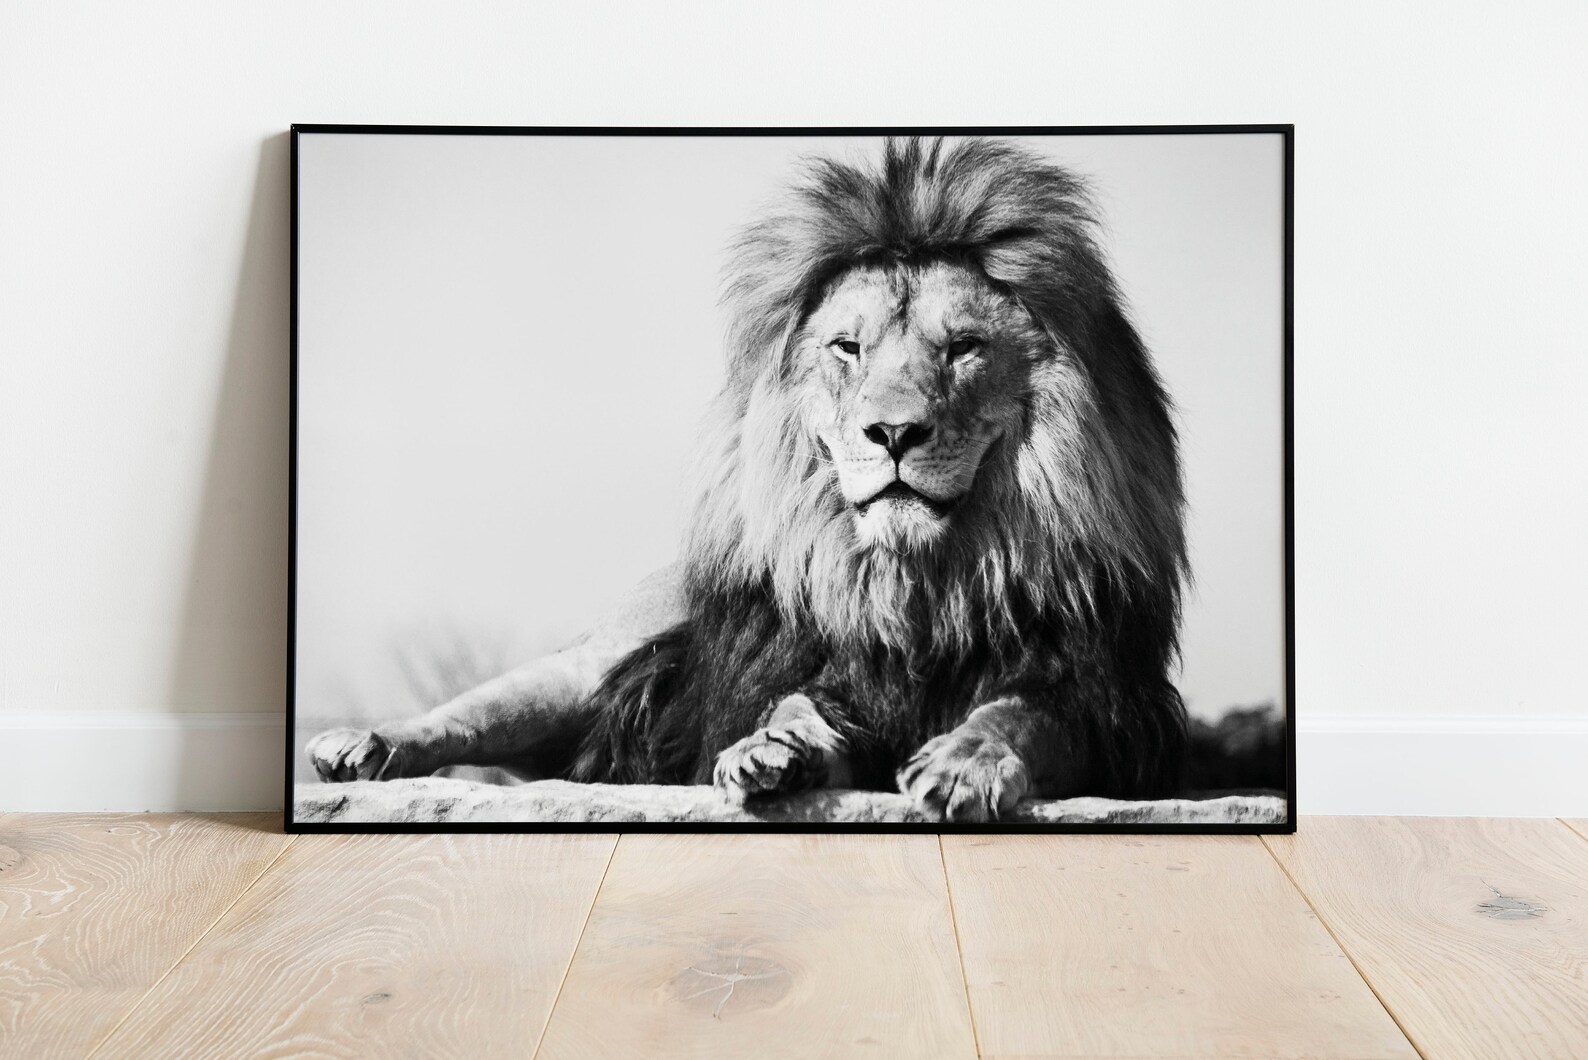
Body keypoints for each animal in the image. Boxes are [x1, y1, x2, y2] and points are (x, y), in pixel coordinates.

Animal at [307, 136, 1189, 822]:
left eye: (964, 347)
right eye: (848, 349)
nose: (894, 433)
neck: (914, 584)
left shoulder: (1108, 705)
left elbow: (1020, 715)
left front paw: (965, 760)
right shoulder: (811, 672)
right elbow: (794, 703)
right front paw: (772, 748)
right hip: (580, 669)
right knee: (466, 714)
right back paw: (362, 744)